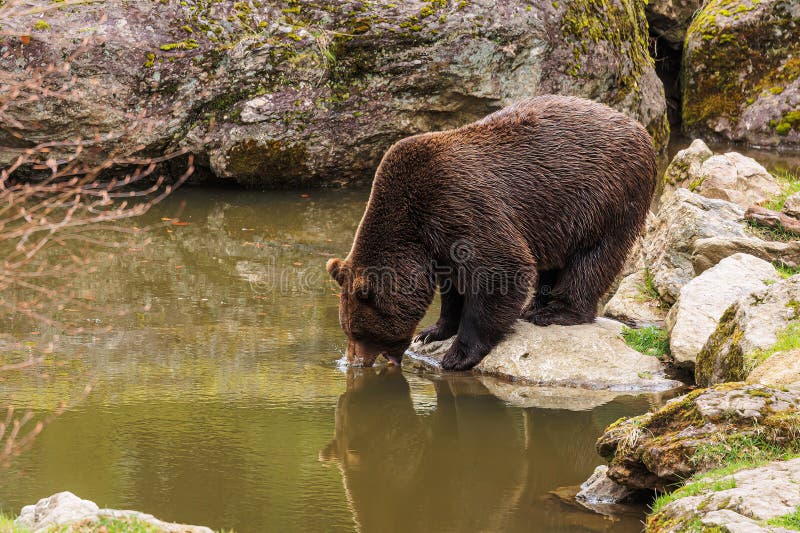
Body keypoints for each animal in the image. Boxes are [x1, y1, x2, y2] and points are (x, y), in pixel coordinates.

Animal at [327, 95, 657, 371]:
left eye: (356, 331)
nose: (352, 361)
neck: (414, 225)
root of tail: (639, 128)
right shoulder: (439, 240)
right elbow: (453, 286)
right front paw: (433, 331)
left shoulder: (458, 205)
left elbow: (499, 269)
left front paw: (458, 354)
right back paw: (536, 304)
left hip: (604, 195)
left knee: (594, 256)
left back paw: (555, 312)